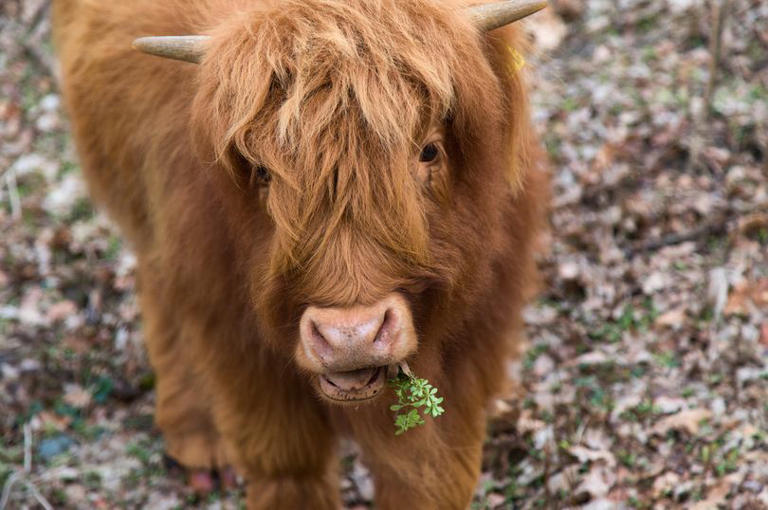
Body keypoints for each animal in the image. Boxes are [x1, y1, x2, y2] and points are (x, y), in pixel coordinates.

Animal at [52, 0, 549, 507]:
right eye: (262, 171)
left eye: (428, 150)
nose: (350, 336)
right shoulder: (239, 344)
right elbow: (288, 469)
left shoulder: (474, 344)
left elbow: (428, 477)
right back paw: (198, 442)